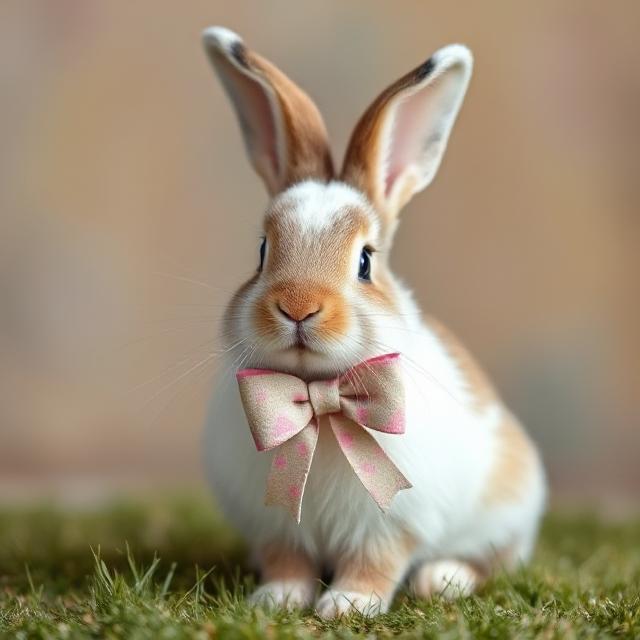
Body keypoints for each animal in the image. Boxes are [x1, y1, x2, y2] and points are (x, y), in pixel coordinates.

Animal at [201, 26, 546, 618]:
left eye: (365, 260)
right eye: (262, 251)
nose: (298, 306)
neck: (319, 400)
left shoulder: (392, 523)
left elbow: (375, 562)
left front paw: (347, 604)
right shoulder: (277, 527)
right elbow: (287, 561)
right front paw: (277, 599)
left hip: (506, 509)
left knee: (494, 561)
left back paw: (443, 578)